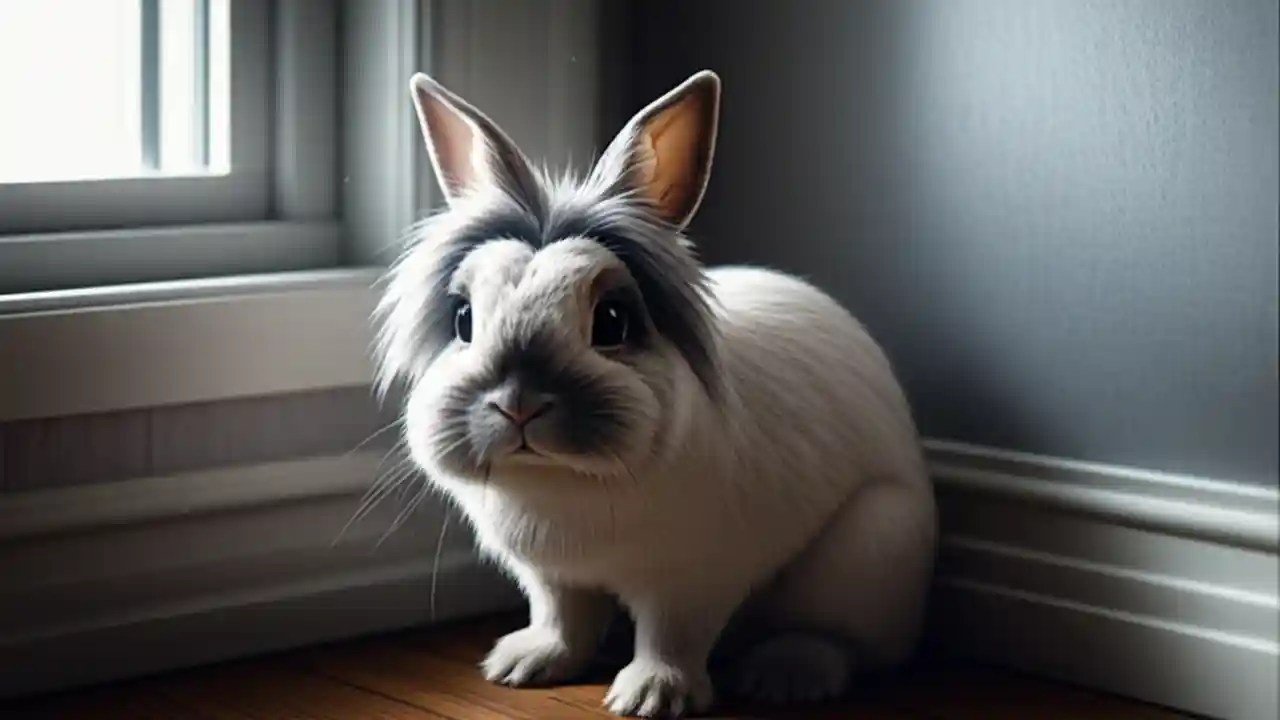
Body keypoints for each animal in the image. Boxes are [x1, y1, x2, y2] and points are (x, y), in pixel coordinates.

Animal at [375, 69, 938, 718]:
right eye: (463, 319)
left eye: (613, 321)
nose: (518, 404)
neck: (564, 483)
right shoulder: (553, 576)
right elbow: (561, 619)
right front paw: (524, 665)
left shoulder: (691, 580)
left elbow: (671, 639)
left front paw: (651, 696)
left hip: (869, 551)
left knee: (841, 641)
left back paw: (786, 675)